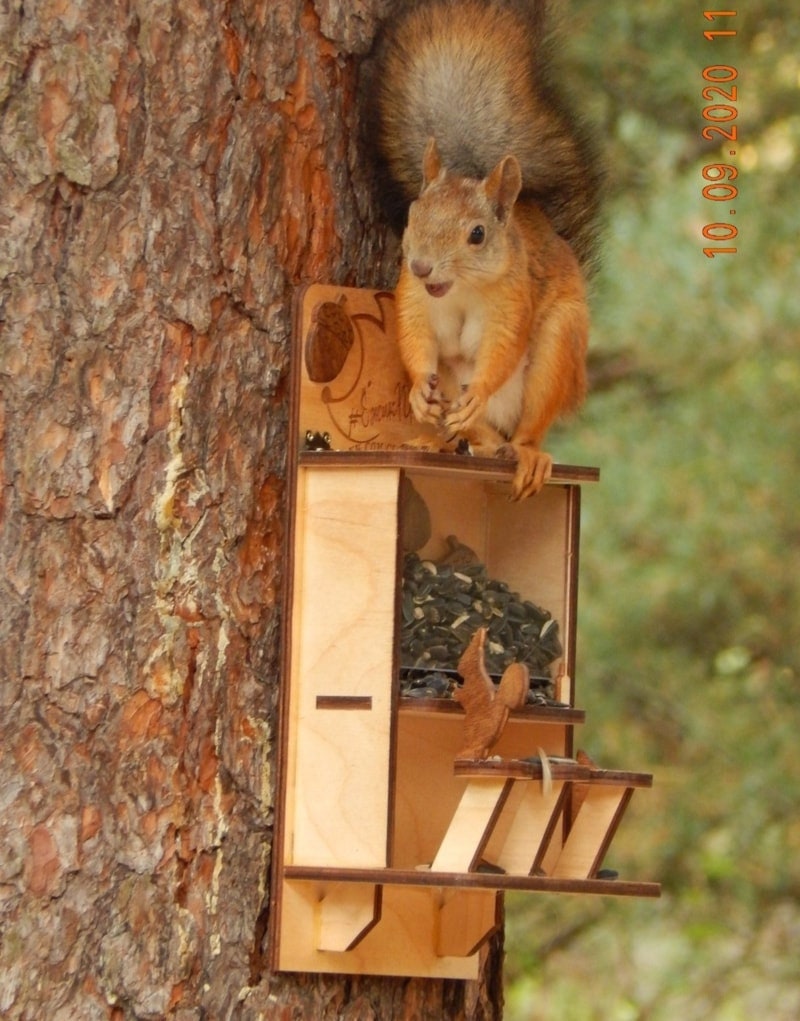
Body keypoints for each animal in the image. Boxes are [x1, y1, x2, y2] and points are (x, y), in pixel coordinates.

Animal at [366, 0, 603, 498]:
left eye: (477, 234)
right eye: (413, 216)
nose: (421, 266)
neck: (458, 290)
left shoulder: (512, 300)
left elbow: (502, 348)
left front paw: (479, 389)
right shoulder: (412, 299)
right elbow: (414, 339)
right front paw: (416, 391)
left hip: (558, 350)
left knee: (529, 427)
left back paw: (525, 453)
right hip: (453, 384)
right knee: (475, 432)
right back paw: (449, 439)